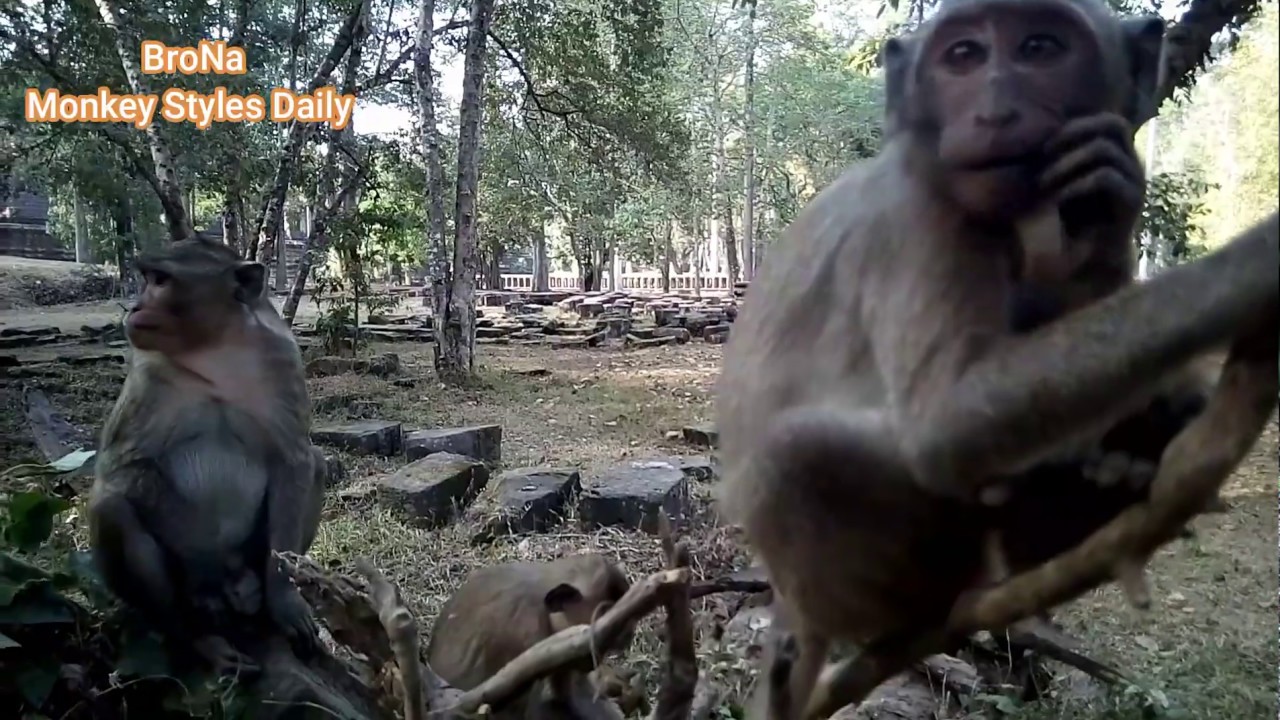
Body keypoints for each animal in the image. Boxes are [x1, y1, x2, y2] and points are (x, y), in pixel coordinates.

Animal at [88, 238, 328, 676]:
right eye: (148, 278)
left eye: (161, 281)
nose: (135, 307)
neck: (216, 349)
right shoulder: (148, 372)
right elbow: (124, 466)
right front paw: (205, 573)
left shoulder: (283, 359)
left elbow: (295, 459)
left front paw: (284, 602)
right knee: (110, 505)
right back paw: (199, 636)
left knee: (317, 463)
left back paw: (257, 600)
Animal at [713, 0, 1278, 716]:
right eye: (964, 57)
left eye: (1040, 48)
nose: (994, 112)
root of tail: (795, 610)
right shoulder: (922, 214)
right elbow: (945, 423)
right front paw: (1254, 264)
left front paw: (1108, 218)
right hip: (861, 582)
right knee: (800, 455)